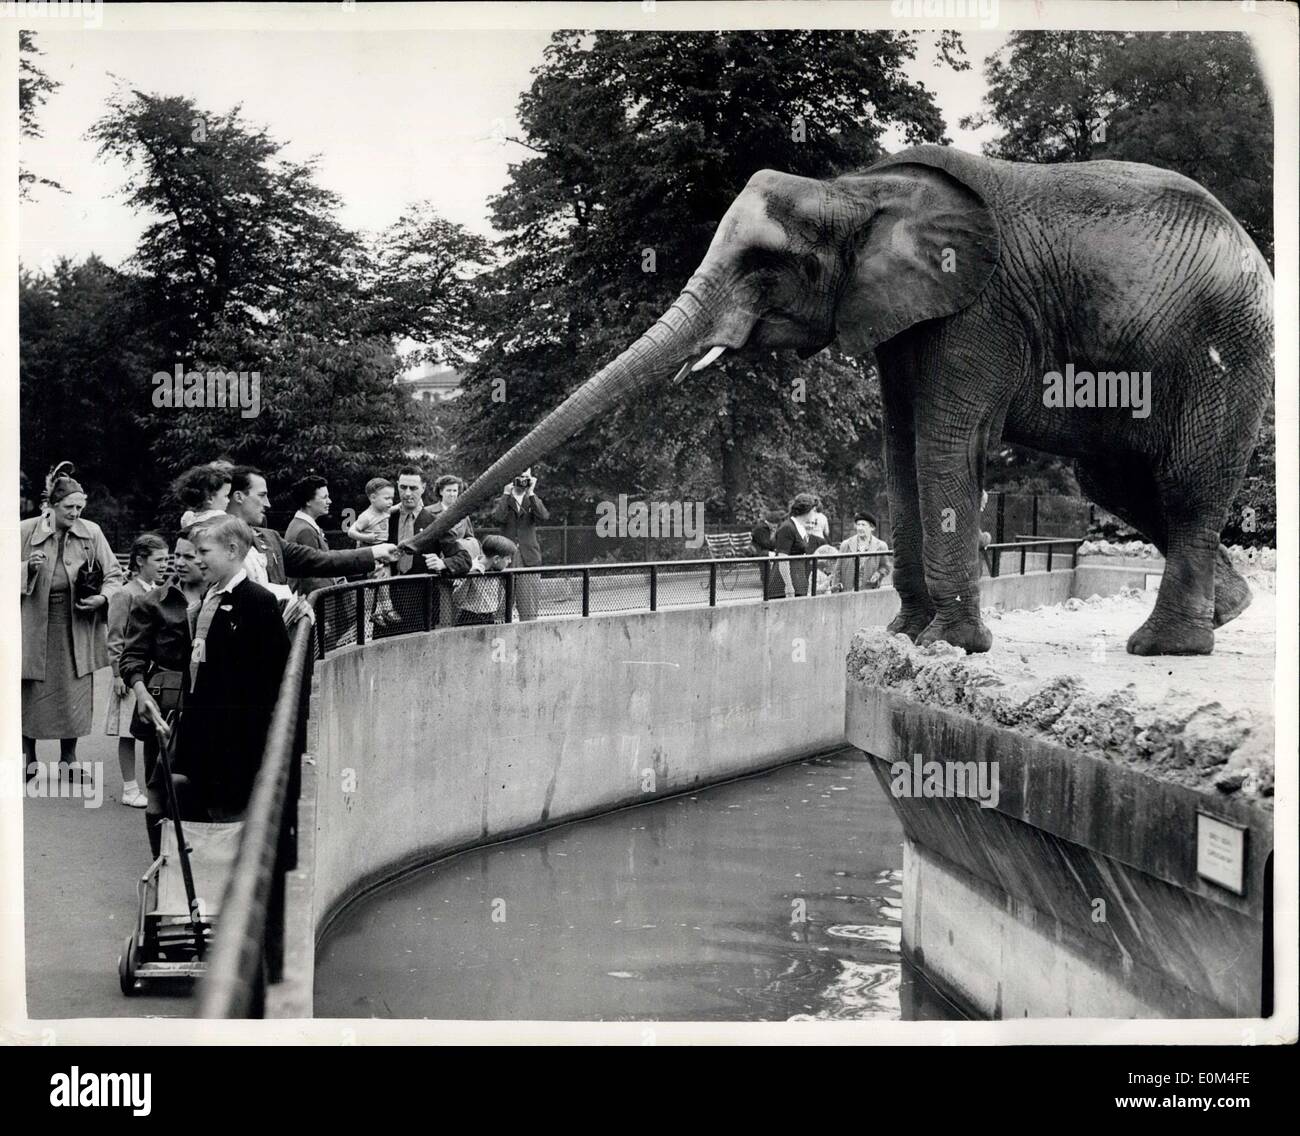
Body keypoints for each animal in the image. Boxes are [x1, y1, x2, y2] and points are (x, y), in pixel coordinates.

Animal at [407, 145, 1273, 656]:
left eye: (763, 264)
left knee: (1183, 484)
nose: (409, 549)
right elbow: (898, 447)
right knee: (1120, 485)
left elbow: (943, 444)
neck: (859, 192)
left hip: (1226, 348)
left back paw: (1165, 646)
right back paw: (1228, 611)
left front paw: (949, 645)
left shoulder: (980, 307)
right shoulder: (901, 311)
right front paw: (905, 632)